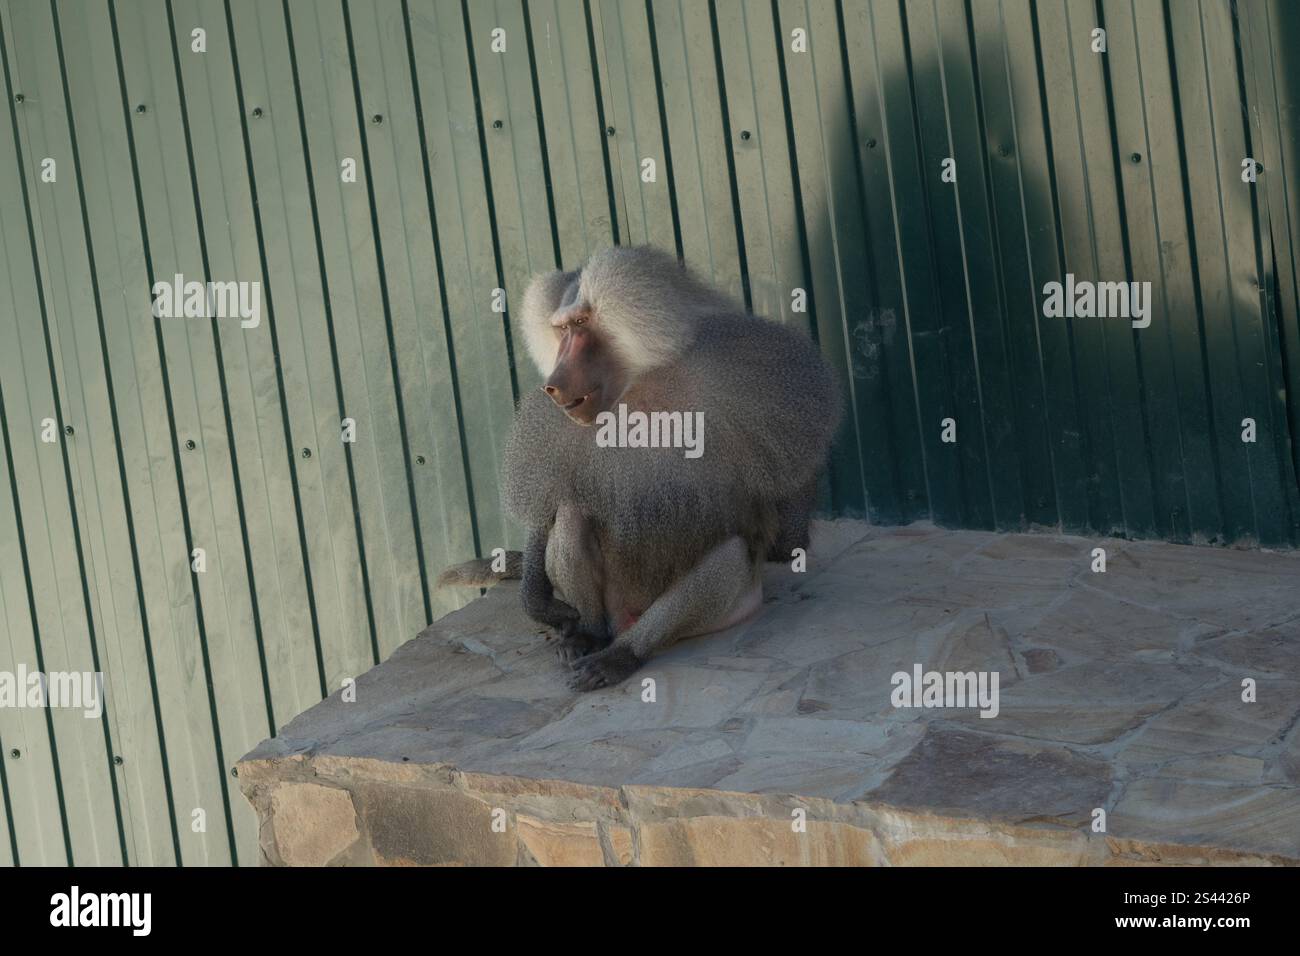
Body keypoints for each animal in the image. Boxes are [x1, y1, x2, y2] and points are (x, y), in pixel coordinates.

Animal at [438, 246, 841, 691]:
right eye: (560, 331)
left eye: (581, 324)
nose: (553, 385)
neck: (636, 388)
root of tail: (629, 619)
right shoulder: (551, 426)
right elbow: (548, 509)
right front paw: (537, 599)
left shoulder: (747, 370)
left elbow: (790, 485)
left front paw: (785, 540)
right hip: (613, 602)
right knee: (572, 516)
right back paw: (586, 638)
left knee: (730, 556)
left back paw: (620, 656)